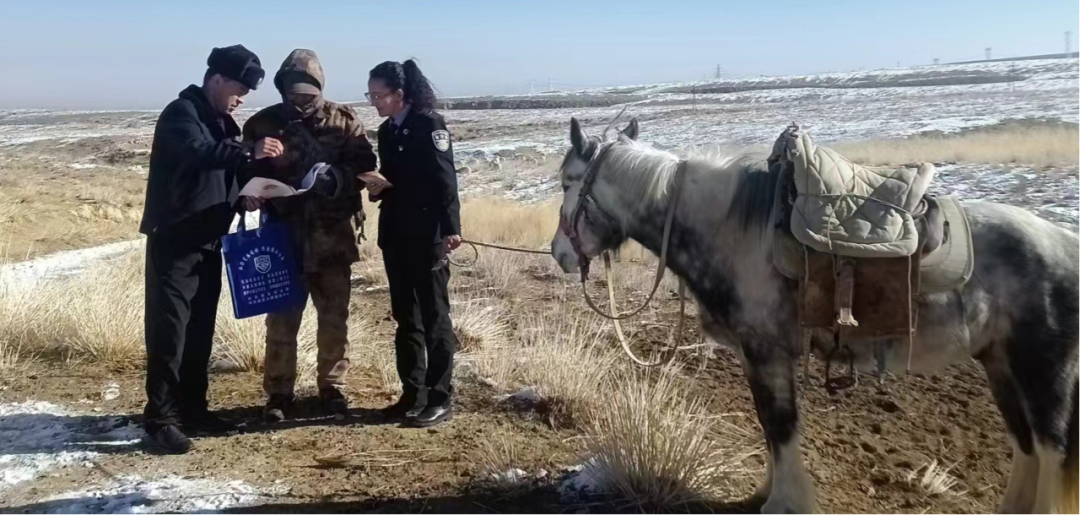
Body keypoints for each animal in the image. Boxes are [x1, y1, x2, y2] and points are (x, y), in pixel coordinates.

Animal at [549, 116, 1080, 515]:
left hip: (1043, 374)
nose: (558, 253)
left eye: (566, 182)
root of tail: (1067, 243)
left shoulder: (766, 353)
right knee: (1025, 446)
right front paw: (768, 492)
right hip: (1000, 365)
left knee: (1051, 450)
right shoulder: (759, 357)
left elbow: (779, 425)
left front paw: (784, 504)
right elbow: (770, 427)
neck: (730, 231)